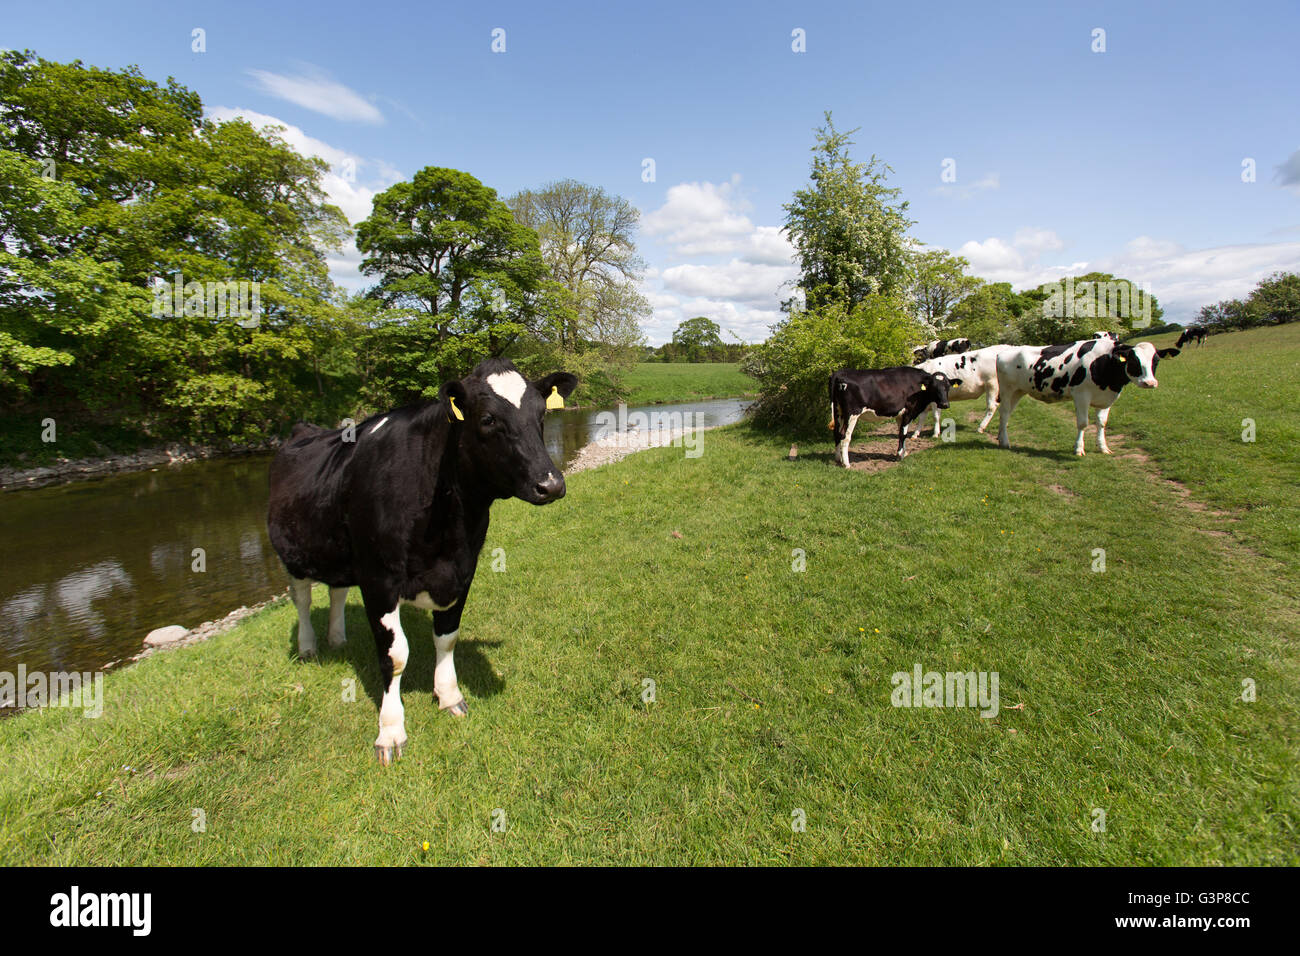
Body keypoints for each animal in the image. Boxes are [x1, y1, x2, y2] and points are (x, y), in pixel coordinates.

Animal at [267, 358, 578, 763]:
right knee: (303, 599)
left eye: (541, 414)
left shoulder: (463, 569)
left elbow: (447, 637)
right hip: (294, 555)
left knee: (336, 591)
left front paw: (449, 696)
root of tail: (304, 428)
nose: (551, 484)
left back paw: (336, 639)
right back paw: (308, 648)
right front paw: (390, 731)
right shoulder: (378, 578)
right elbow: (394, 655)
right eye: (488, 418)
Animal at [829, 367, 961, 466]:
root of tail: (840, 373)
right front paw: (899, 455)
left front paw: (904, 452)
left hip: (838, 411)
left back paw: (838, 459)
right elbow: (903, 434)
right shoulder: (909, 411)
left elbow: (900, 432)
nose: (945, 404)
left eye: (948, 386)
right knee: (845, 436)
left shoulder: (900, 414)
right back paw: (846, 464)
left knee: (836, 433)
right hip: (852, 414)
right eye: (934, 387)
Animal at [995, 337, 1178, 456]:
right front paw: (1078, 449)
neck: (1105, 363)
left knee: (1007, 413)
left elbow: (1102, 423)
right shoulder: (1081, 395)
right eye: (1133, 360)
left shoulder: (1106, 399)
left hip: (1019, 391)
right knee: (1004, 412)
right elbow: (1083, 423)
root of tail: (1005, 351)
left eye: (1156, 361)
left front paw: (1103, 448)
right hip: (1007, 389)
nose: (1150, 383)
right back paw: (1005, 442)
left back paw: (1000, 437)